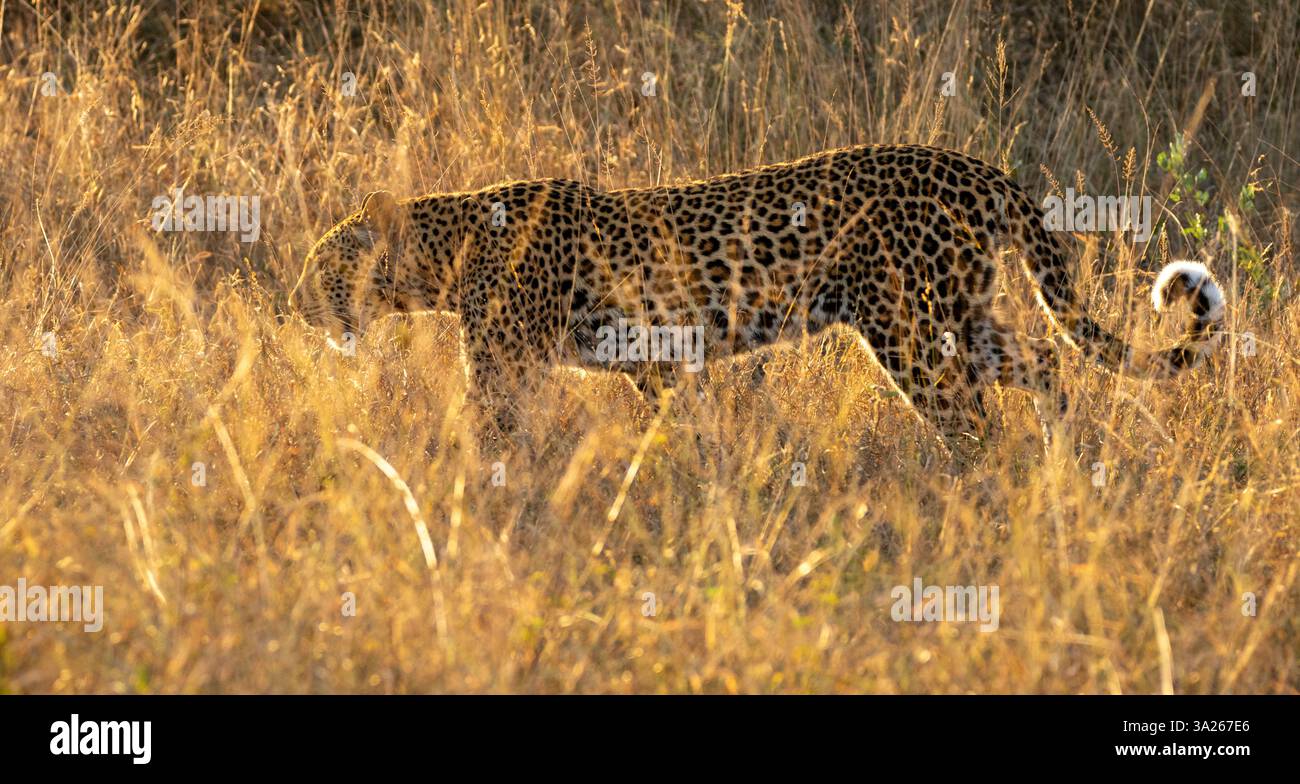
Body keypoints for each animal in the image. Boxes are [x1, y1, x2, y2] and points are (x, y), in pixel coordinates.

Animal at [288, 144, 1225, 452]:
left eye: (325, 270)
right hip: (962, 314)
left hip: (909, 327)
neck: (449, 250)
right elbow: (691, 425)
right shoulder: (655, 360)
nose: (293, 308)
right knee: (1043, 366)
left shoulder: (504, 367)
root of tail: (977, 168)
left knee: (970, 417)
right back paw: (1068, 466)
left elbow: (486, 434)